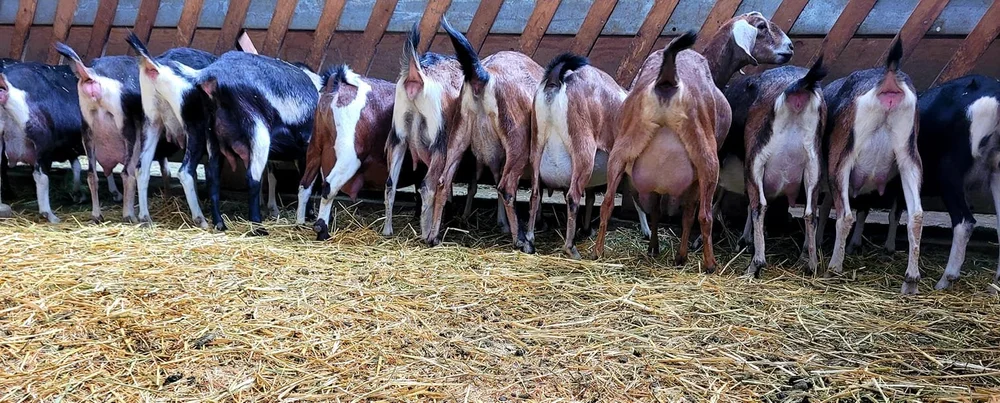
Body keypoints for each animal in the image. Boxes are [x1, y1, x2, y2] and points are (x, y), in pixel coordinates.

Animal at [422, 19, 543, 249]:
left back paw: (434, 237)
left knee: (443, 181)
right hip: (518, 143)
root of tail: (484, 77)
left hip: (458, 135)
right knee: (506, 187)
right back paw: (522, 241)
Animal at [593, 32, 729, 273]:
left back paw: (598, 252)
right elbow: (689, 214)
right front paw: (681, 256)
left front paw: (654, 248)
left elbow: (655, 211)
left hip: (622, 150)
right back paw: (710, 264)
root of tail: (668, 81)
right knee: (704, 215)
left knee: (607, 203)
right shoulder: (696, 180)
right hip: (706, 158)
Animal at [822, 40, 923, 294]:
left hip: (842, 158)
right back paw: (911, 279)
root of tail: (888, 80)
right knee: (916, 215)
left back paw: (834, 268)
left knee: (845, 215)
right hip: (908, 156)